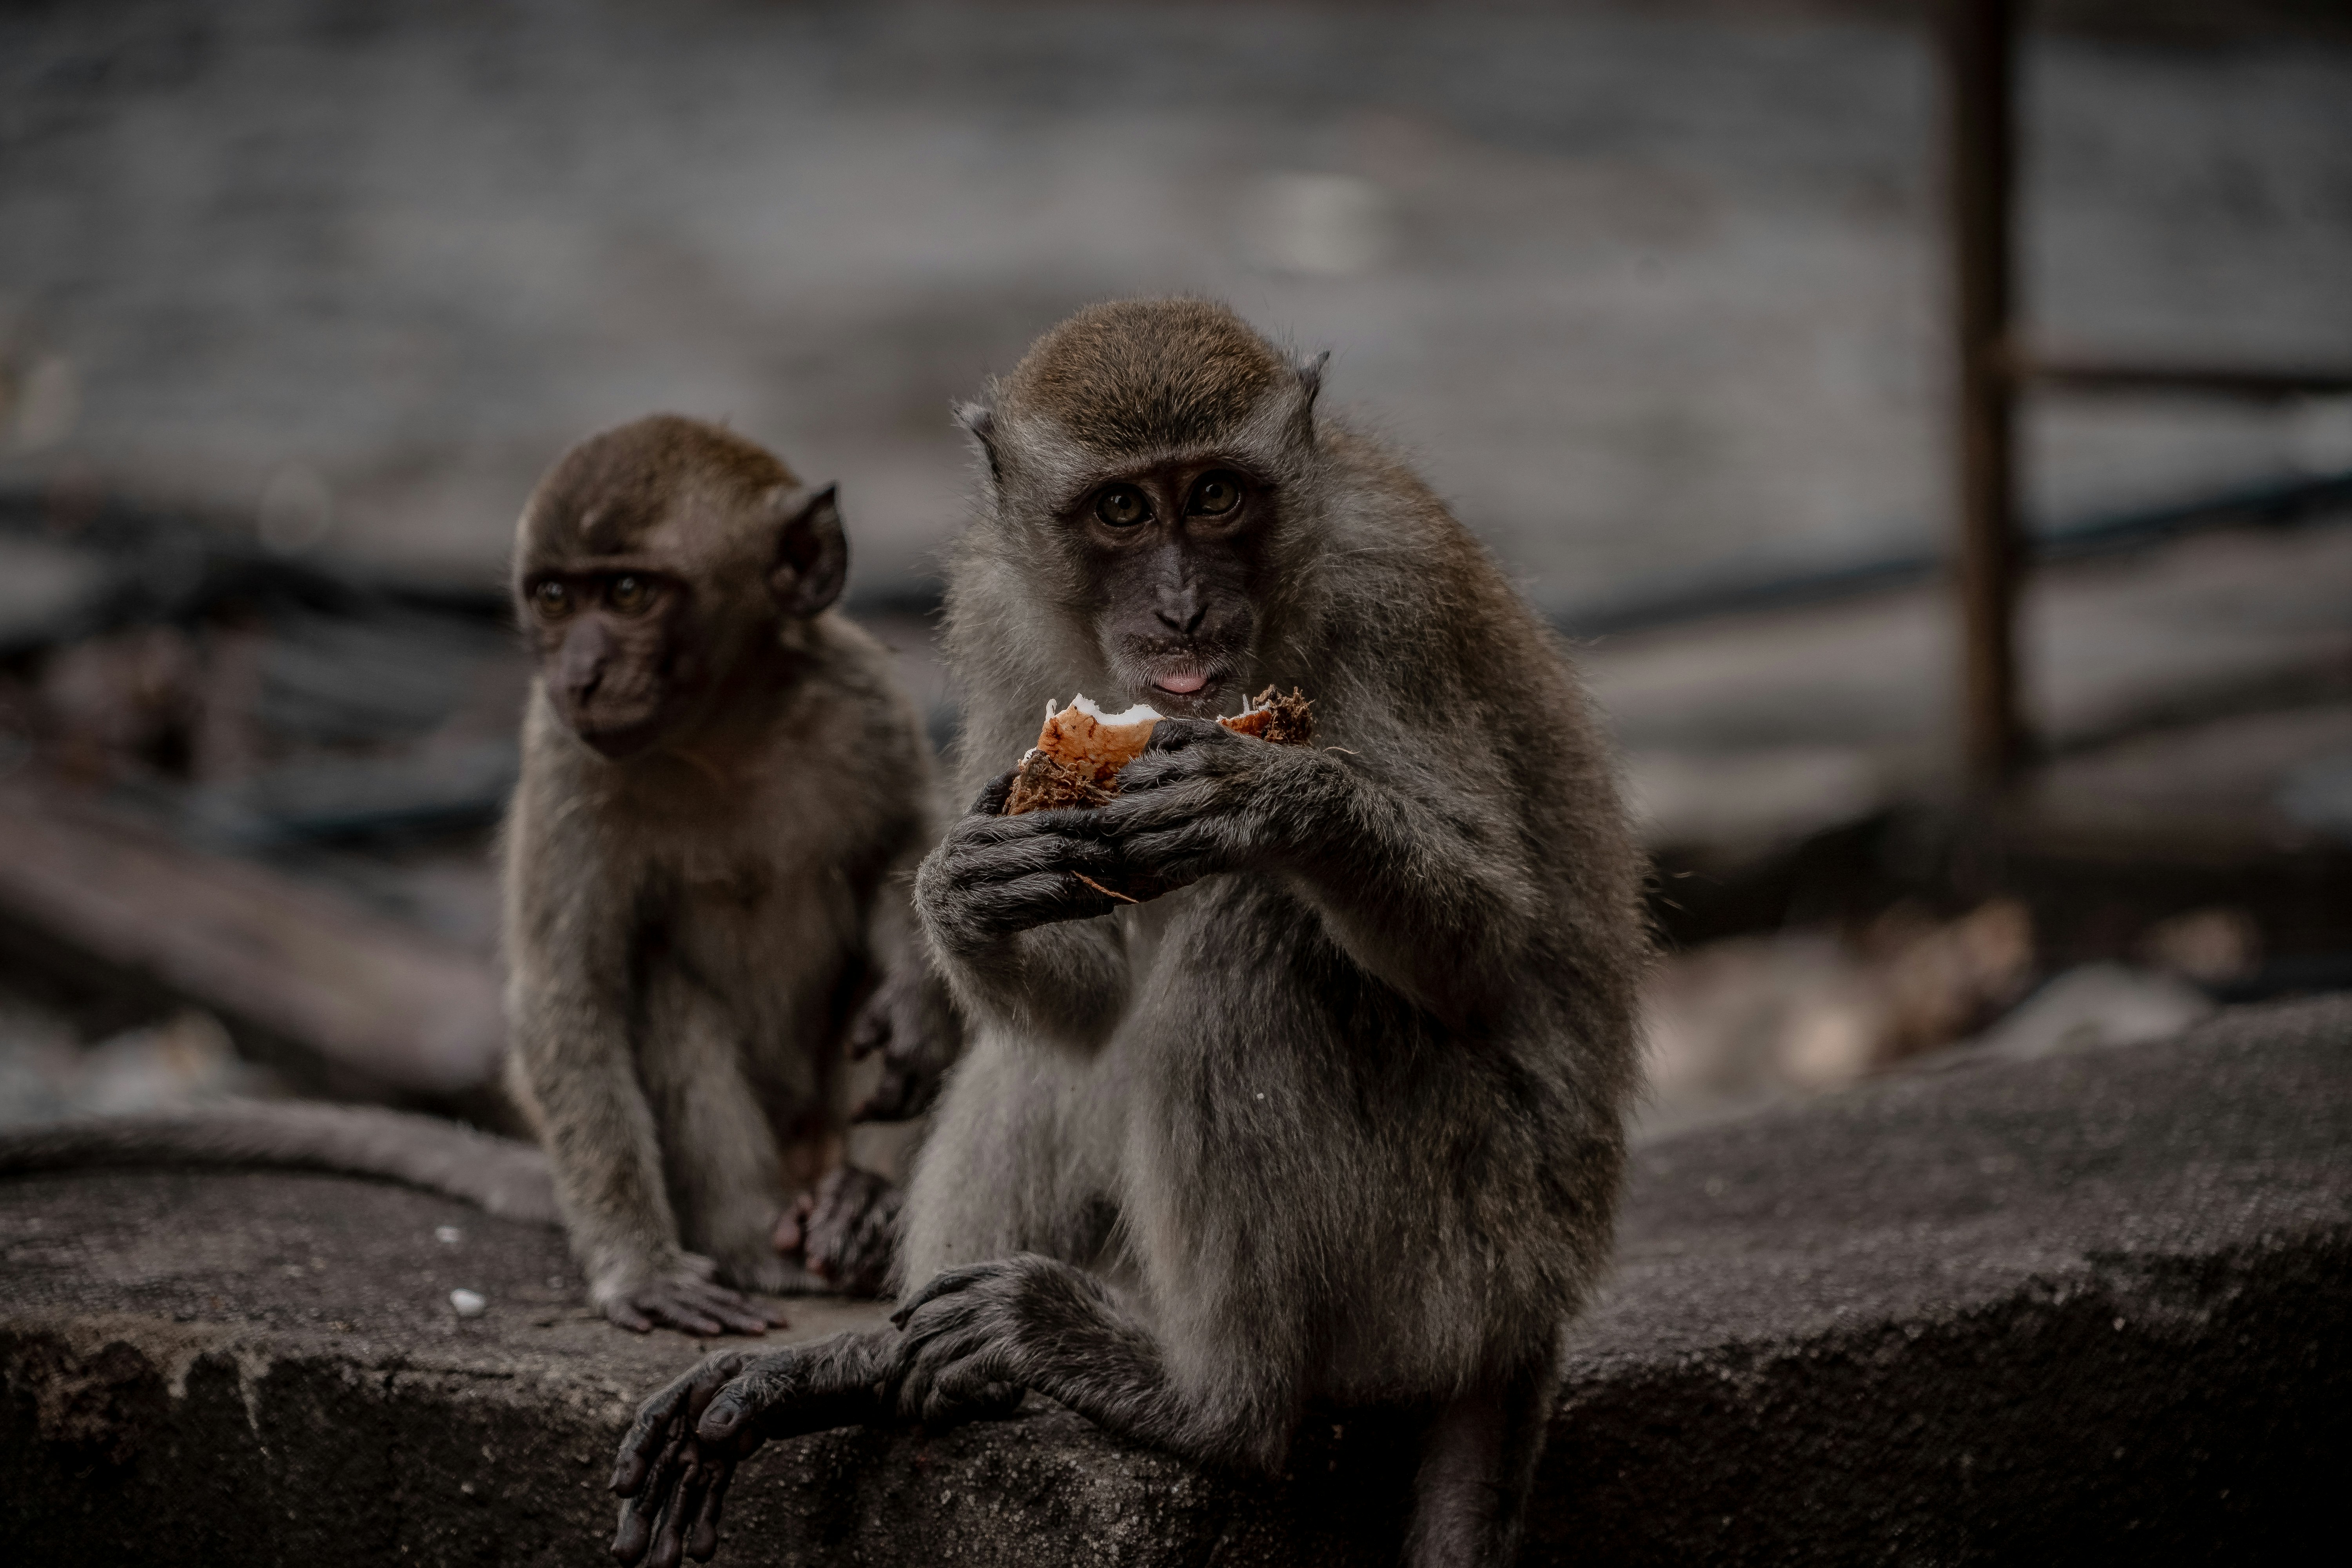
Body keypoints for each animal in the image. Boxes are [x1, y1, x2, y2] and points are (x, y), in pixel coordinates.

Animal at [0, 415, 960, 1335]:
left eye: (628, 593)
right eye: (554, 597)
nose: (581, 673)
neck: (723, 735)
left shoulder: (865, 703)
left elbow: (908, 873)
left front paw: (912, 1008)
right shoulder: (564, 760)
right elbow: (568, 995)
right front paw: (638, 1268)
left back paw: (861, 1207)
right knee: (649, 987)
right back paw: (757, 1243)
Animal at [605, 302, 1649, 1566]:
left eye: (1216, 495)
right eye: (1121, 510)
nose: (1183, 608)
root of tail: (1538, 1307)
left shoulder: (1393, 597)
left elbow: (1484, 940)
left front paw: (1271, 799)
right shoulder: (999, 613)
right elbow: (1080, 991)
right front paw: (962, 889)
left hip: (1464, 1254)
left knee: (1253, 935)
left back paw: (1210, 1405)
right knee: (1078, 1046)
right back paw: (871, 1364)